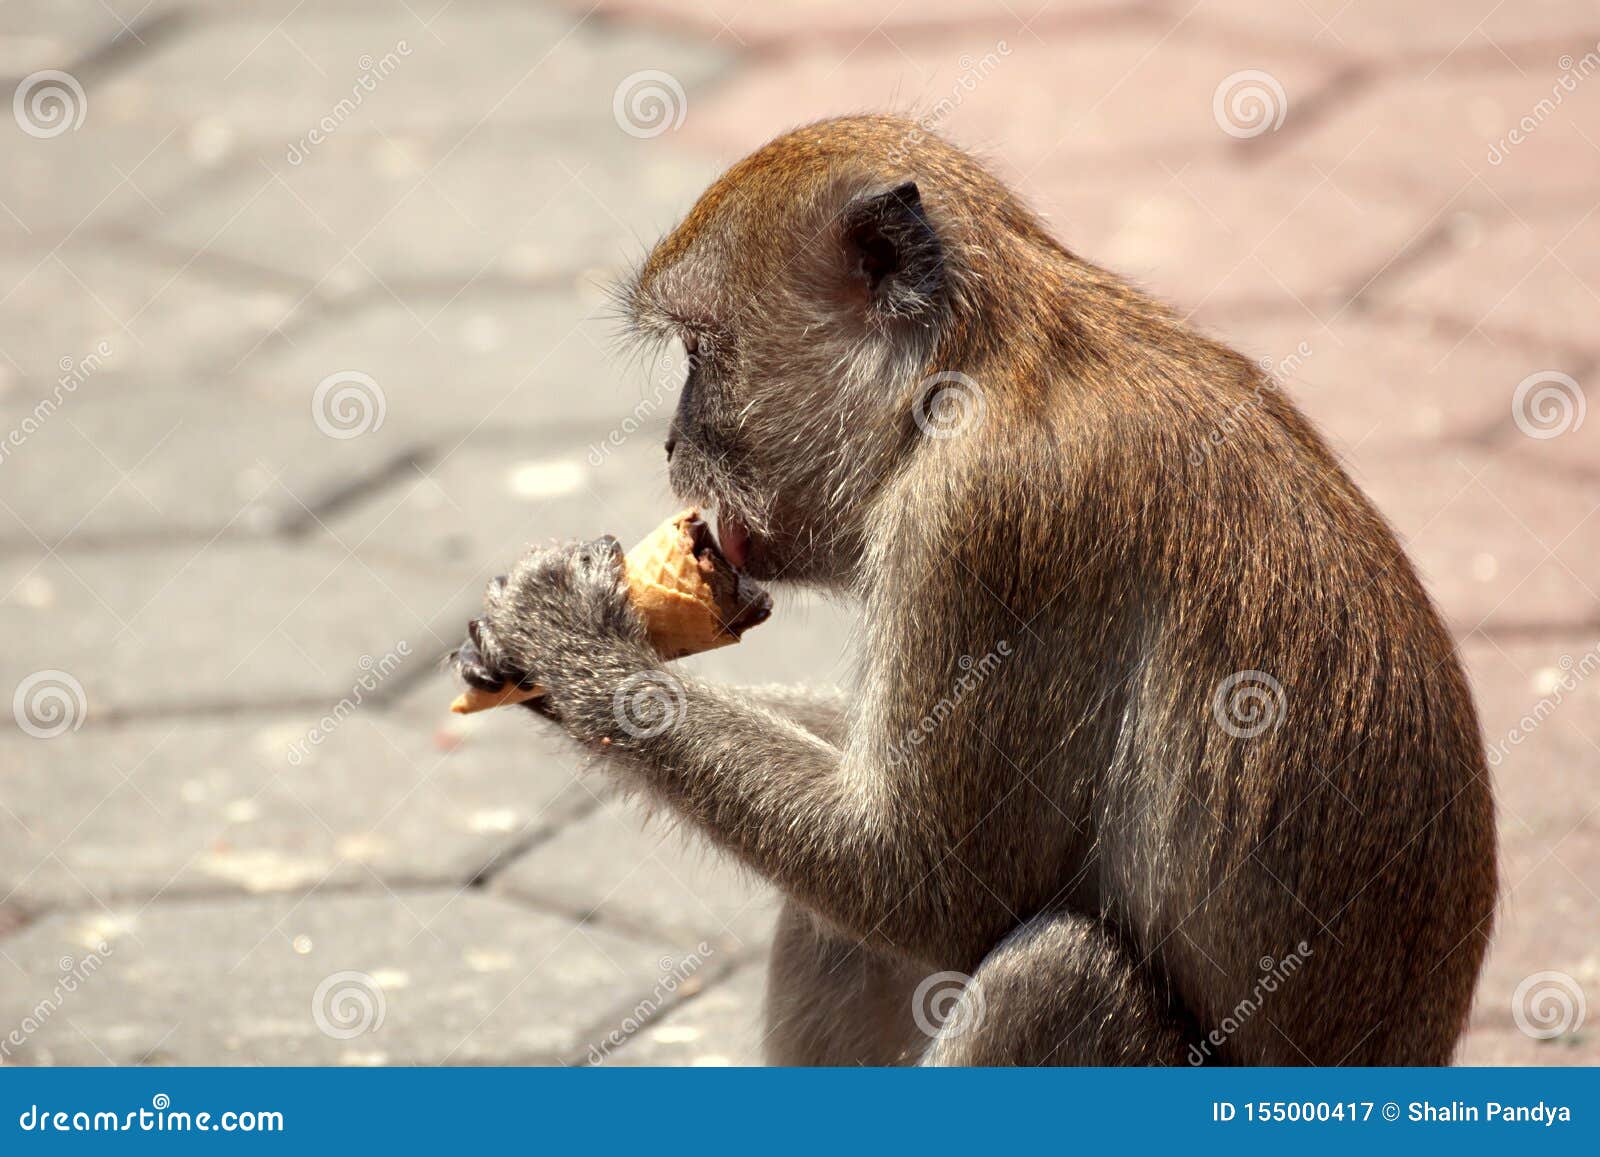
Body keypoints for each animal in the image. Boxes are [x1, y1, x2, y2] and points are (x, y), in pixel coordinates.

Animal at [453, 114, 1497, 1066]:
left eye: (702, 353)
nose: (670, 444)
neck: (966, 367)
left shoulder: (986, 522)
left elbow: (920, 884)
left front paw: (569, 637)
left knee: (1059, 974)